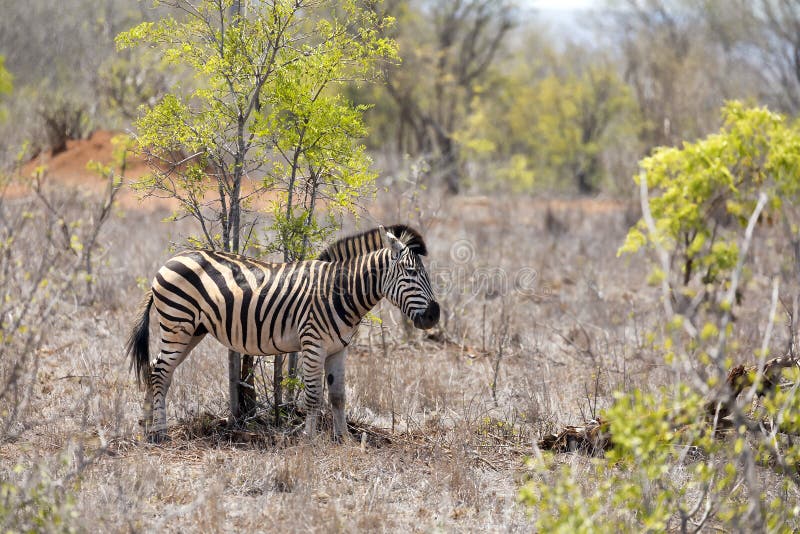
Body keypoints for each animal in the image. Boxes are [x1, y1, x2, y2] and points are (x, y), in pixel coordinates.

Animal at [126, 225, 439, 441]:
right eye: (411, 274)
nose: (434, 315)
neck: (339, 291)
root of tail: (171, 260)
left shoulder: (339, 348)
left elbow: (338, 395)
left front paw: (343, 439)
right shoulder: (313, 344)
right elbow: (313, 396)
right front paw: (309, 441)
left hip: (192, 330)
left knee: (156, 369)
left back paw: (146, 428)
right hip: (178, 324)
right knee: (160, 371)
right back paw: (161, 432)